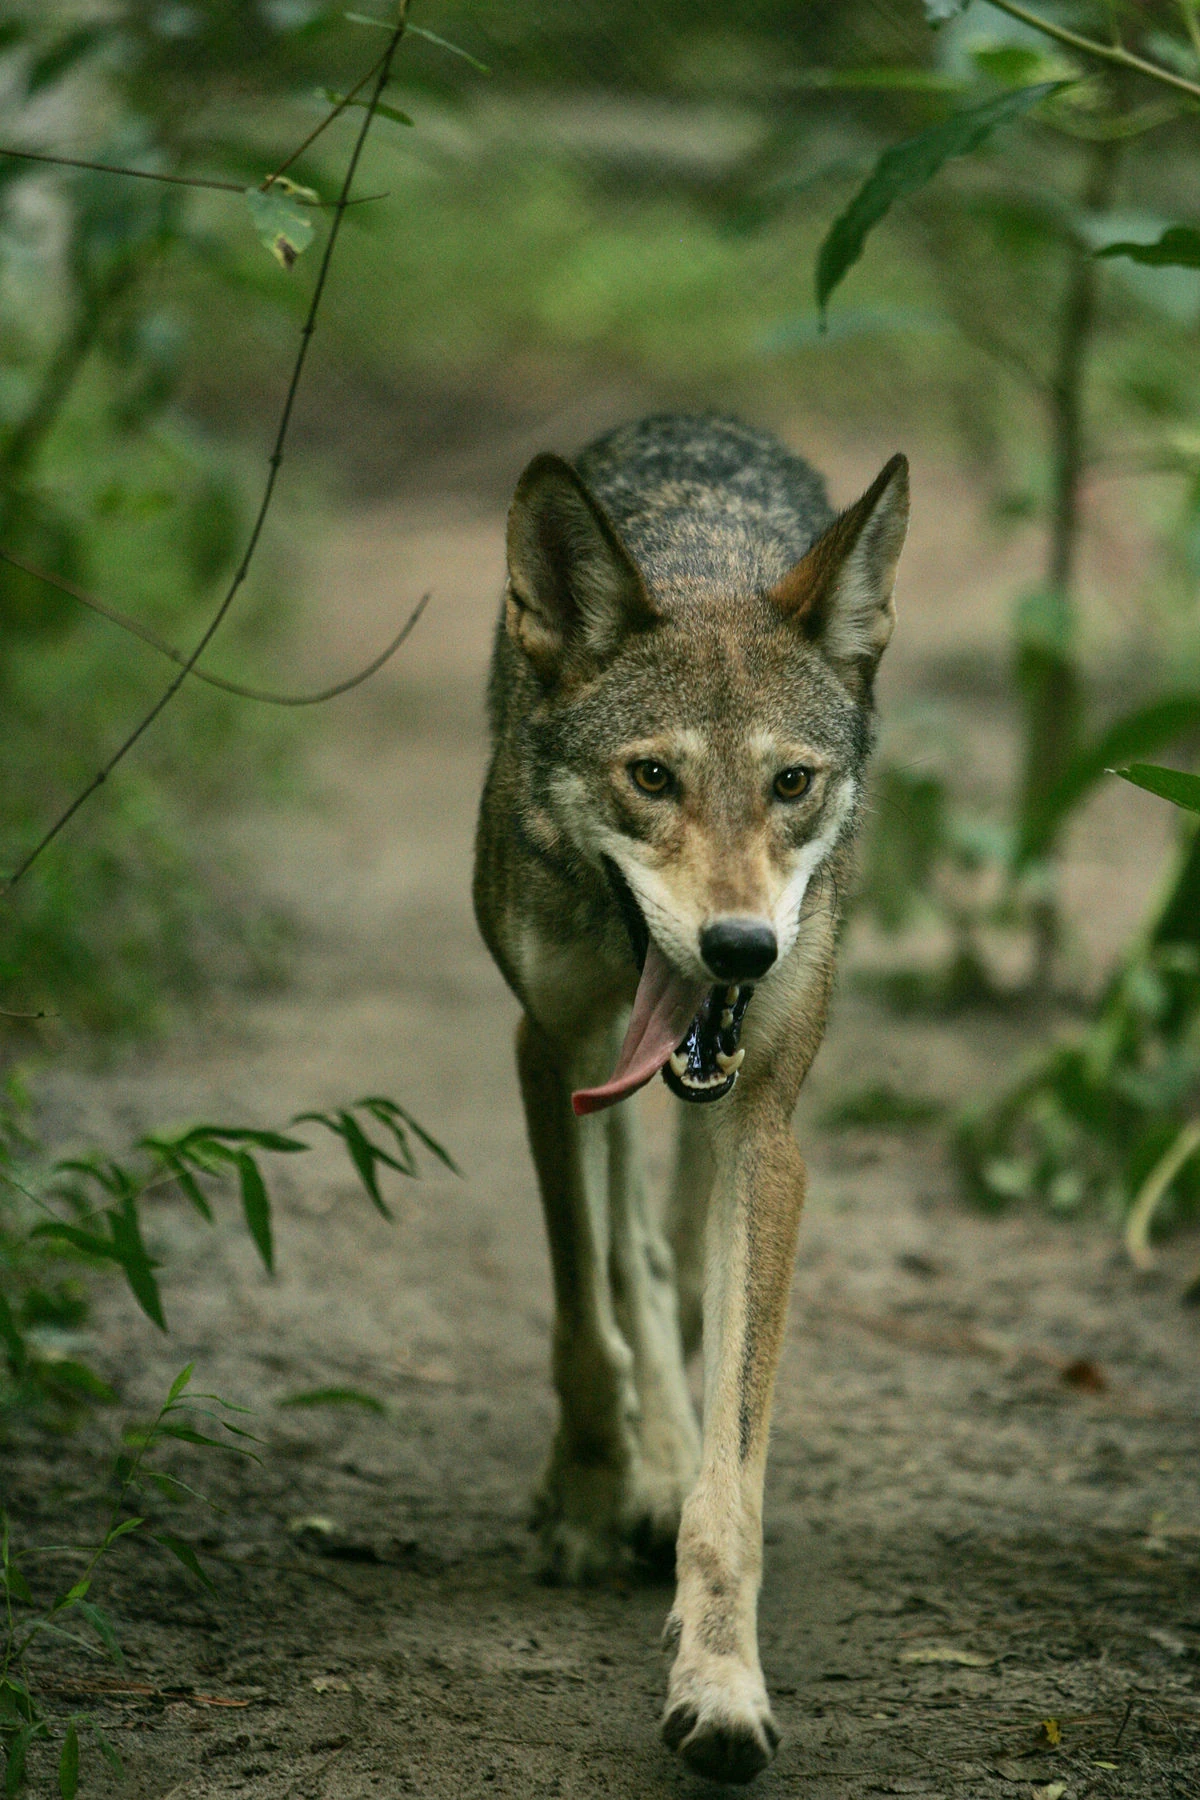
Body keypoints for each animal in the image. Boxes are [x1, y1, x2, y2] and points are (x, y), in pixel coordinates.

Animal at [473, 414, 908, 1784]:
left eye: (792, 784)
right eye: (652, 777)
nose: (739, 949)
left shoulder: (765, 1129)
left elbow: (735, 1473)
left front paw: (718, 1683)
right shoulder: (548, 1047)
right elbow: (581, 1319)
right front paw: (592, 1495)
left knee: (662, 1256)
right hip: (595, 1067)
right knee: (629, 1260)